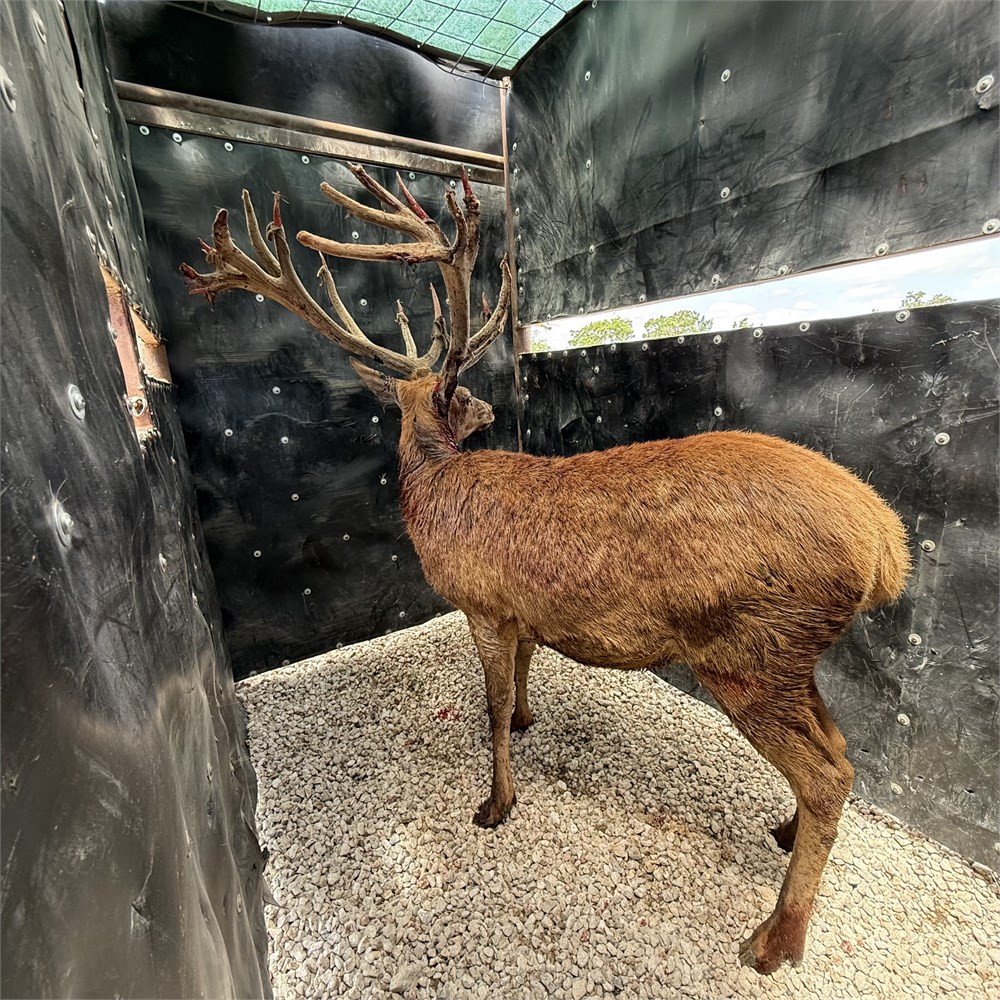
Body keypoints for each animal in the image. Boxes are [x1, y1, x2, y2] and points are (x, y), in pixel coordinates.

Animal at [183, 165, 911, 975]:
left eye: (465, 390)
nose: (484, 407)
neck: (435, 495)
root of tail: (887, 545)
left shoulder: (480, 601)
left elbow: (492, 704)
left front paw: (495, 803)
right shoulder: (521, 609)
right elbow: (525, 674)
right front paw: (532, 723)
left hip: (750, 648)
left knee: (827, 774)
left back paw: (773, 937)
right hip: (790, 655)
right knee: (839, 750)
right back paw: (782, 836)